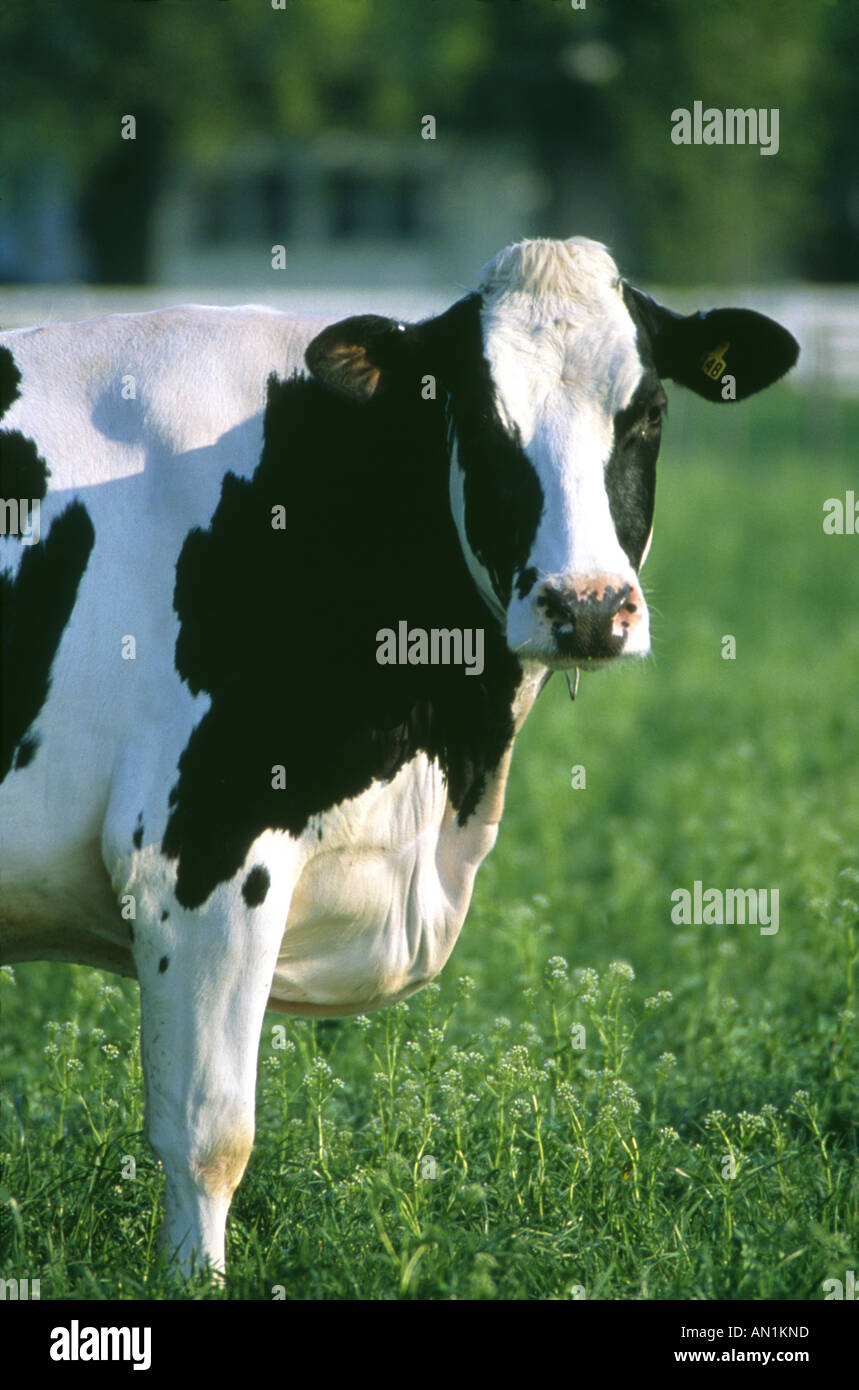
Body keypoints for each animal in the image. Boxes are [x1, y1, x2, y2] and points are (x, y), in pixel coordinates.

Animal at [0, 237, 798, 1275]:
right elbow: (207, 1135)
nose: (586, 605)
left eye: (649, 412)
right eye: (481, 419)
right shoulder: (198, 850)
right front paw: (194, 1282)